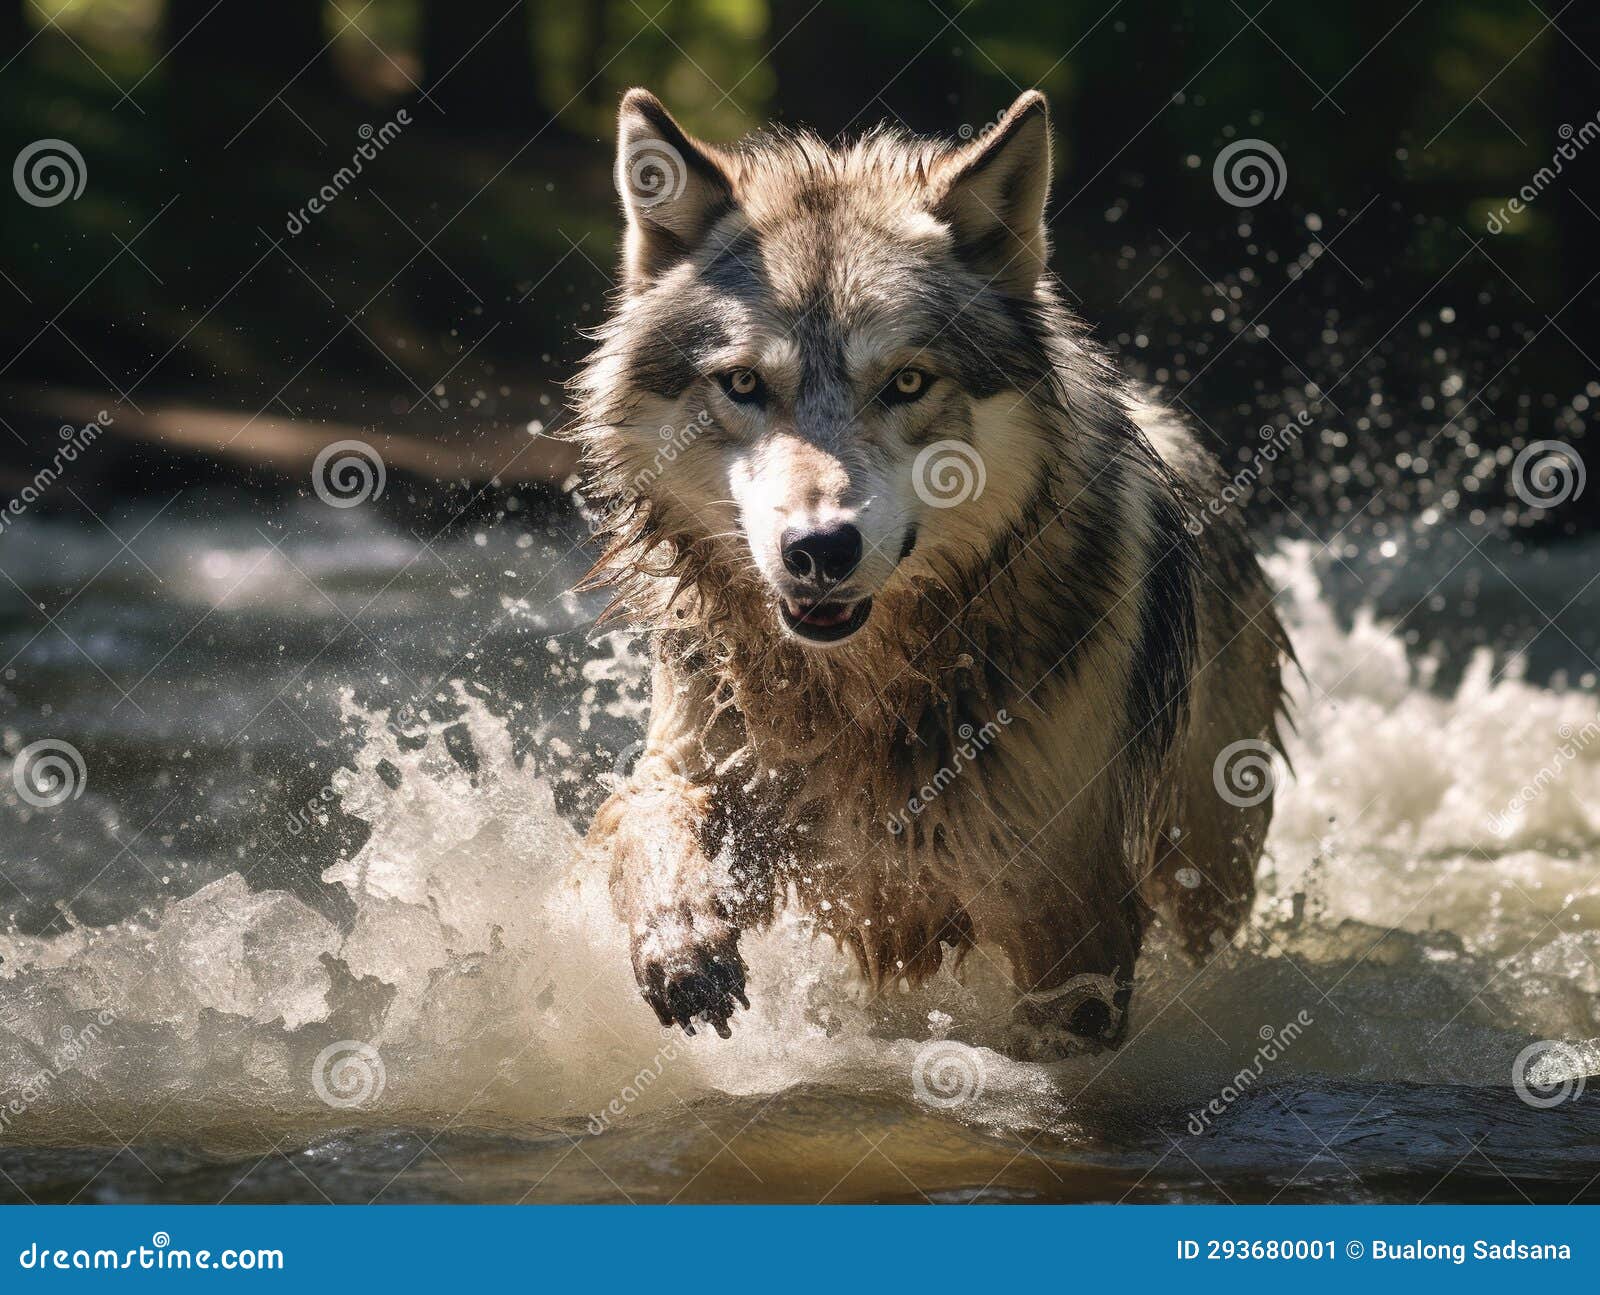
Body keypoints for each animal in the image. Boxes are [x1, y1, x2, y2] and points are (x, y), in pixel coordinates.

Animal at [572, 88, 1291, 1053]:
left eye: (908, 383)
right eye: (744, 385)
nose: (820, 547)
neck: (862, 698)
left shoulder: (1072, 915)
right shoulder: (706, 768)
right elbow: (651, 819)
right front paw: (682, 945)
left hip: (1204, 871)